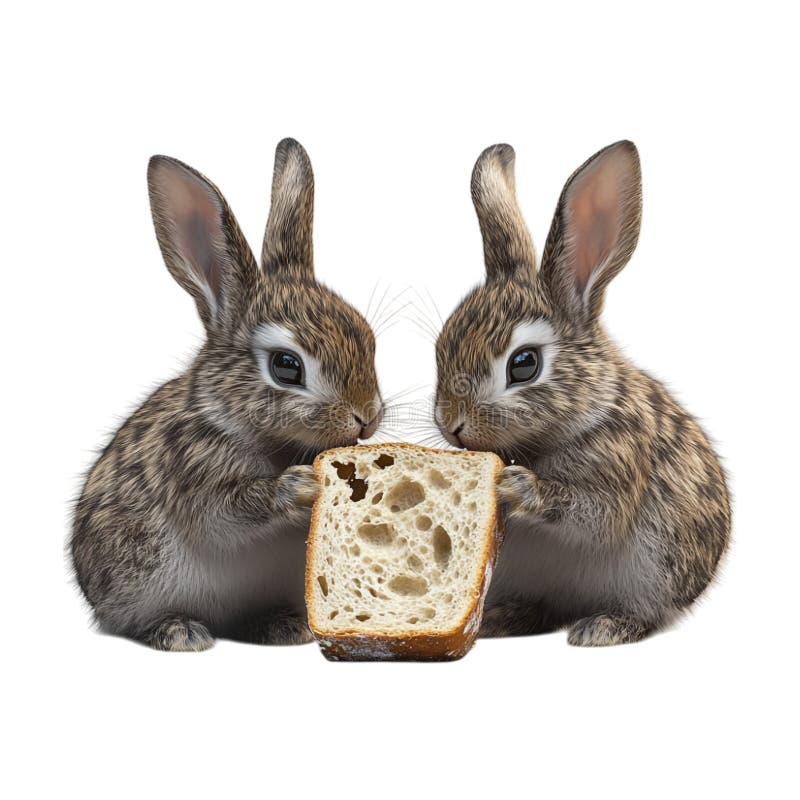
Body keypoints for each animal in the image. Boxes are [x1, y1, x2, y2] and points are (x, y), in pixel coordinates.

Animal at [71, 139, 383, 651]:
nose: (366, 416)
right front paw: (299, 486)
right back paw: (180, 632)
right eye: (286, 366)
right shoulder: (195, 468)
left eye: (368, 336)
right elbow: (225, 514)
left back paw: (283, 626)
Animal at [433, 140, 730, 646]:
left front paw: (518, 486)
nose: (451, 423)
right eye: (441, 345)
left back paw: (603, 627)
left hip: (657, 570)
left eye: (524, 364)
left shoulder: (618, 465)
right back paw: (499, 619)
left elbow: (594, 516)